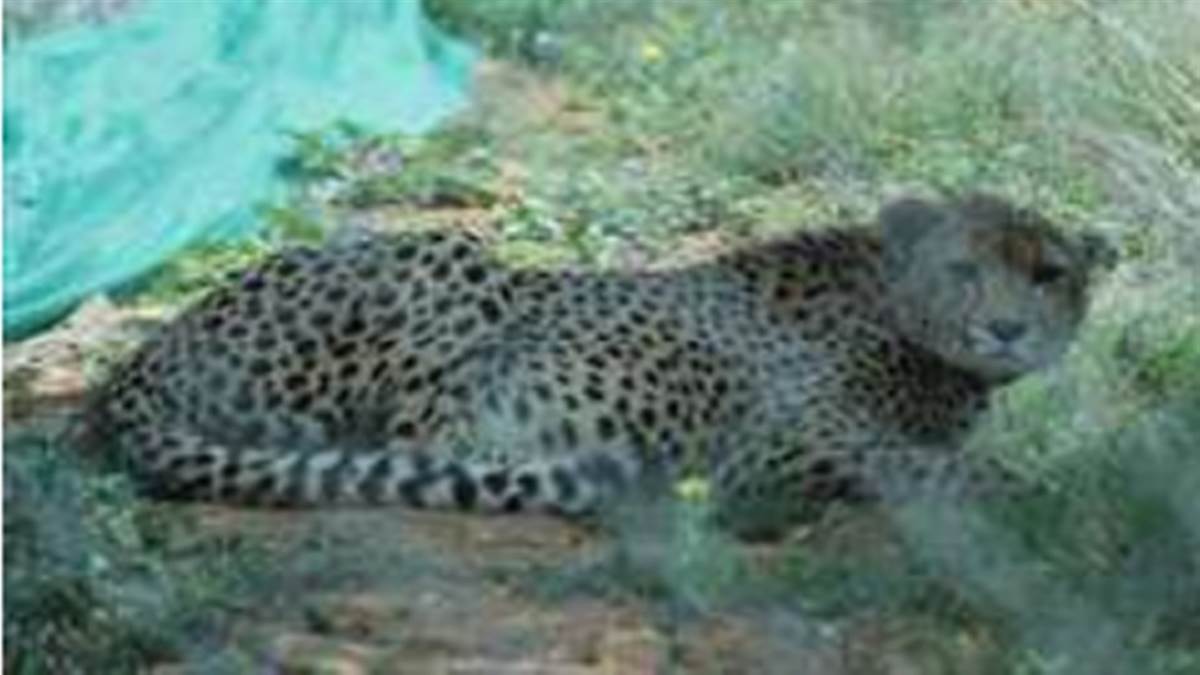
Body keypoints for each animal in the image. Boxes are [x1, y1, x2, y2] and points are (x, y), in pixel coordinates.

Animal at [84, 192, 1114, 535]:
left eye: (1048, 273)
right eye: (964, 268)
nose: (1006, 330)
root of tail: (138, 359)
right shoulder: (784, 448)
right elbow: (953, 466)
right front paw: (1070, 498)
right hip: (451, 258)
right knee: (421, 441)